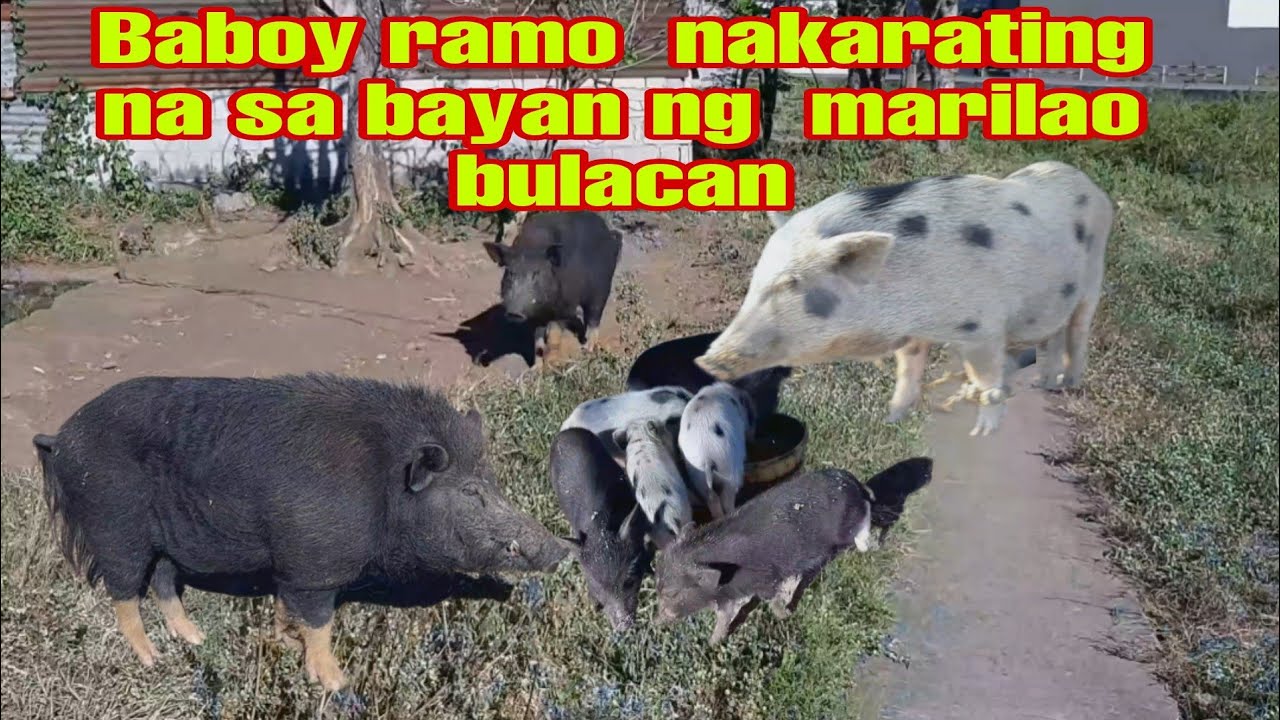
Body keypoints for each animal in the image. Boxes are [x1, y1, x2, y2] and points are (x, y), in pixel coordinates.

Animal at [32, 373, 570, 692]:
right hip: (114, 526)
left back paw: (197, 639)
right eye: (472, 491)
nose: (563, 548)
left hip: (168, 541)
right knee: (123, 593)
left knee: (164, 582)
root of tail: (60, 438)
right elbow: (320, 621)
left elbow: (283, 606)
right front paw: (337, 683)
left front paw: (288, 648)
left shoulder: (291, 567)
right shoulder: (314, 565)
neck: (383, 485)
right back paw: (153, 659)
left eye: (493, 483)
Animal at [483, 211, 623, 364]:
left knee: (594, 317)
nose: (514, 312)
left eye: (536, 273)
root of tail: (609, 233)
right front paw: (536, 368)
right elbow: (538, 342)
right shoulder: (536, 315)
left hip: (602, 287)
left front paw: (553, 365)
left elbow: (553, 336)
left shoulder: (565, 306)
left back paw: (587, 350)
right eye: (510, 273)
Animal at [654, 458, 933, 644]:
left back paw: (871, 545)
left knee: (865, 524)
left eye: (673, 593)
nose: (657, 621)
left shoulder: (766, 579)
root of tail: (854, 484)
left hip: (852, 521)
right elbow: (725, 616)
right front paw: (713, 643)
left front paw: (785, 615)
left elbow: (772, 600)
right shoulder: (733, 594)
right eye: (659, 589)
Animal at [677, 382, 757, 519]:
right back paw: (733, 510)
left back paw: (719, 516)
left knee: (711, 498)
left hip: (697, 474)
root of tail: (706, 456)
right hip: (729, 466)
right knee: (728, 495)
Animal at [695, 161, 1113, 436]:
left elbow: (987, 374)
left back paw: (1067, 384)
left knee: (1077, 333)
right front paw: (892, 417)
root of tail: (1093, 187)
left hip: (1092, 283)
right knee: (1050, 338)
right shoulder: (915, 333)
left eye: (791, 283)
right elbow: (907, 369)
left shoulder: (982, 328)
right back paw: (1044, 384)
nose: (706, 360)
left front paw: (981, 432)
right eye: (756, 279)